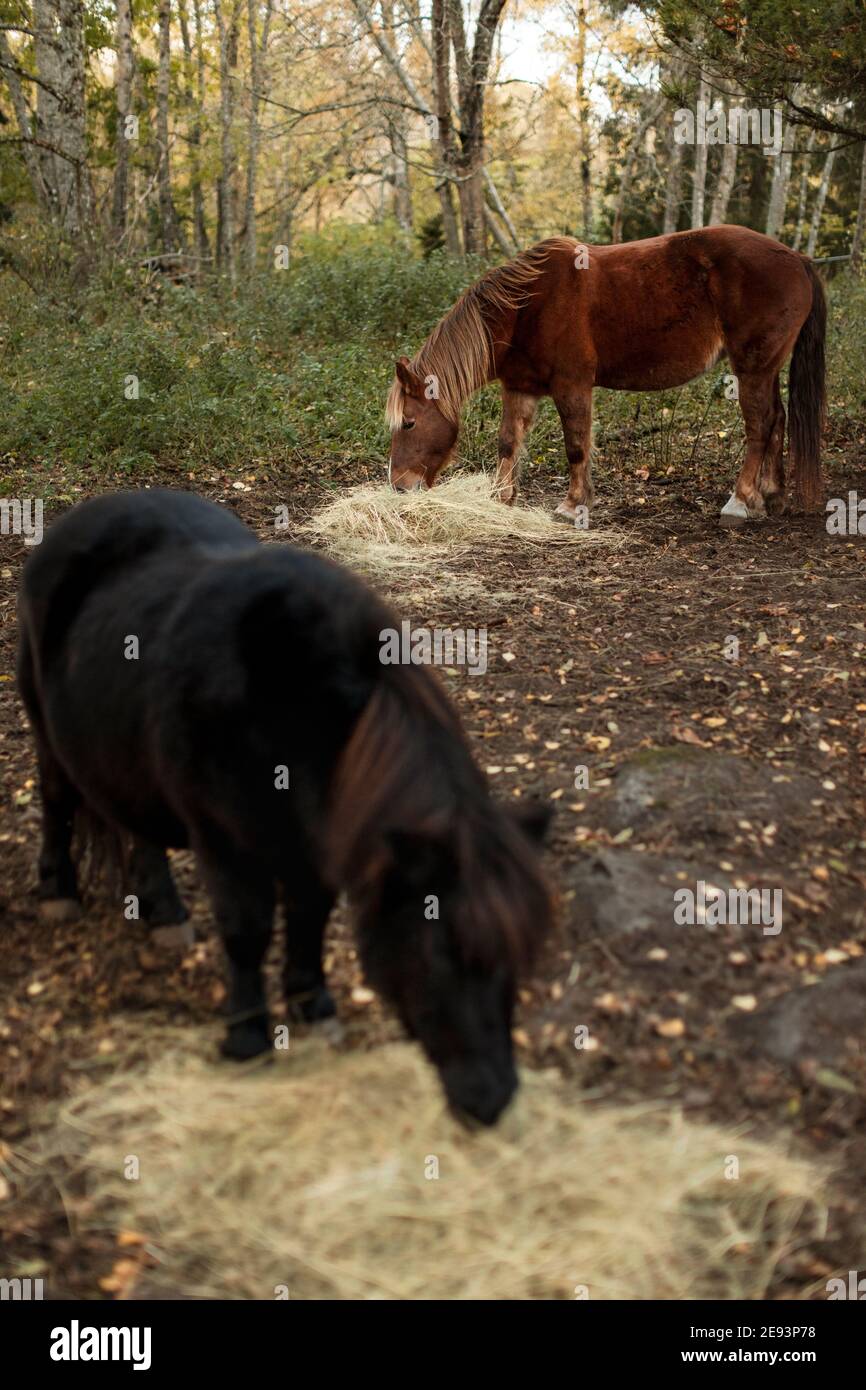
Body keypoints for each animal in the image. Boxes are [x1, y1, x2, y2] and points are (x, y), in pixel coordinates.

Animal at [16, 490, 553, 1126]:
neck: (292, 705)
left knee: (138, 825)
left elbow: (310, 914)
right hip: (49, 736)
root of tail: (75, 519)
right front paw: (246, 1038)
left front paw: (312, 1004)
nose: (492, 1099)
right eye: (441, 951)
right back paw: (58, 892)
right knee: (56, 803)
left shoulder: (315, 842)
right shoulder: (224, 842)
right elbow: (248, 931)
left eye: (519, 955)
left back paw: (164, 912)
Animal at [386, 226, 827, 527]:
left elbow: (576, 446)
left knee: (760, 426)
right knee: (778, 419)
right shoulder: (520, 387)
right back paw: (771, 496)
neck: (527, 306)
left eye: (409, 422)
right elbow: (508, 442)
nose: (398, 486)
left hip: (752, 368)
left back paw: (739, 501)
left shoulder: (572, 385)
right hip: (766, 368)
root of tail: (797, 258)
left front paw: (573, 505)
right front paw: (501, 497)